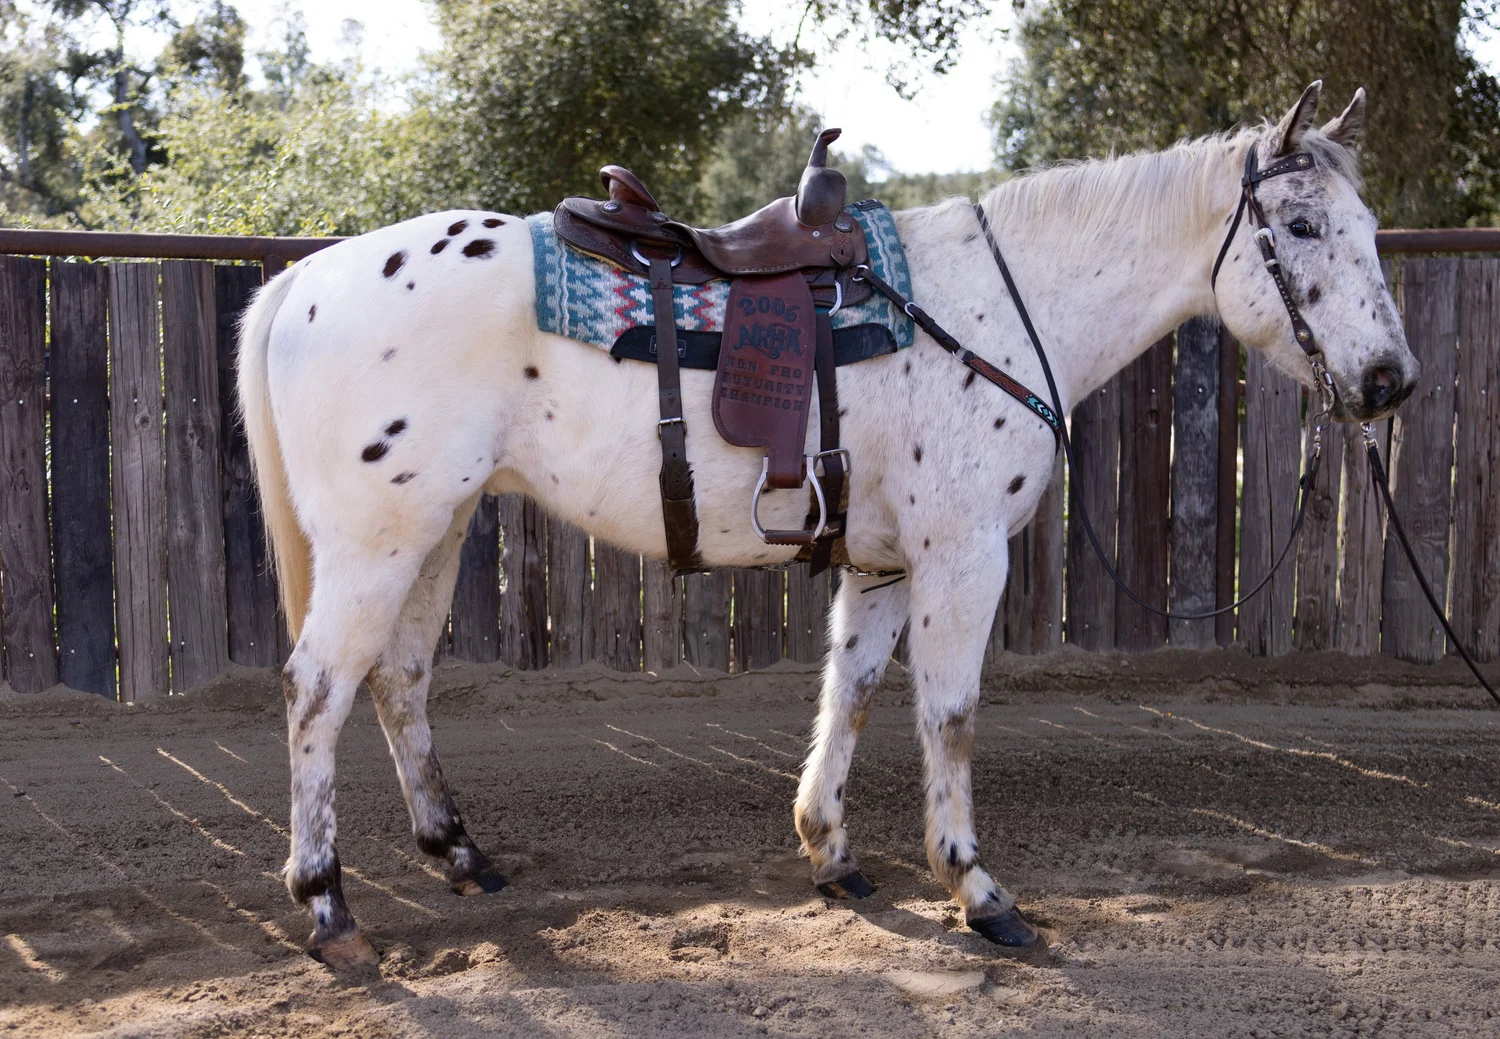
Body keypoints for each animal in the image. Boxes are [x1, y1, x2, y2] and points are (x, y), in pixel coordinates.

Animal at [237, 81, 1417, 967]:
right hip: (377, 544)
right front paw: (977, 889)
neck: (997, 305)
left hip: (435, 531)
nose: (1389, 379)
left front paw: (831, 853)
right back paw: (328, 904)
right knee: (317, 690)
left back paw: (459, 853)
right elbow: (951, 716)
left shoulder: (883, 565)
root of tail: (306, 278)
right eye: (1301, 226)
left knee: (399, 680)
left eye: (1367, 228)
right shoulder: (962, 557)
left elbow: (848, 696)